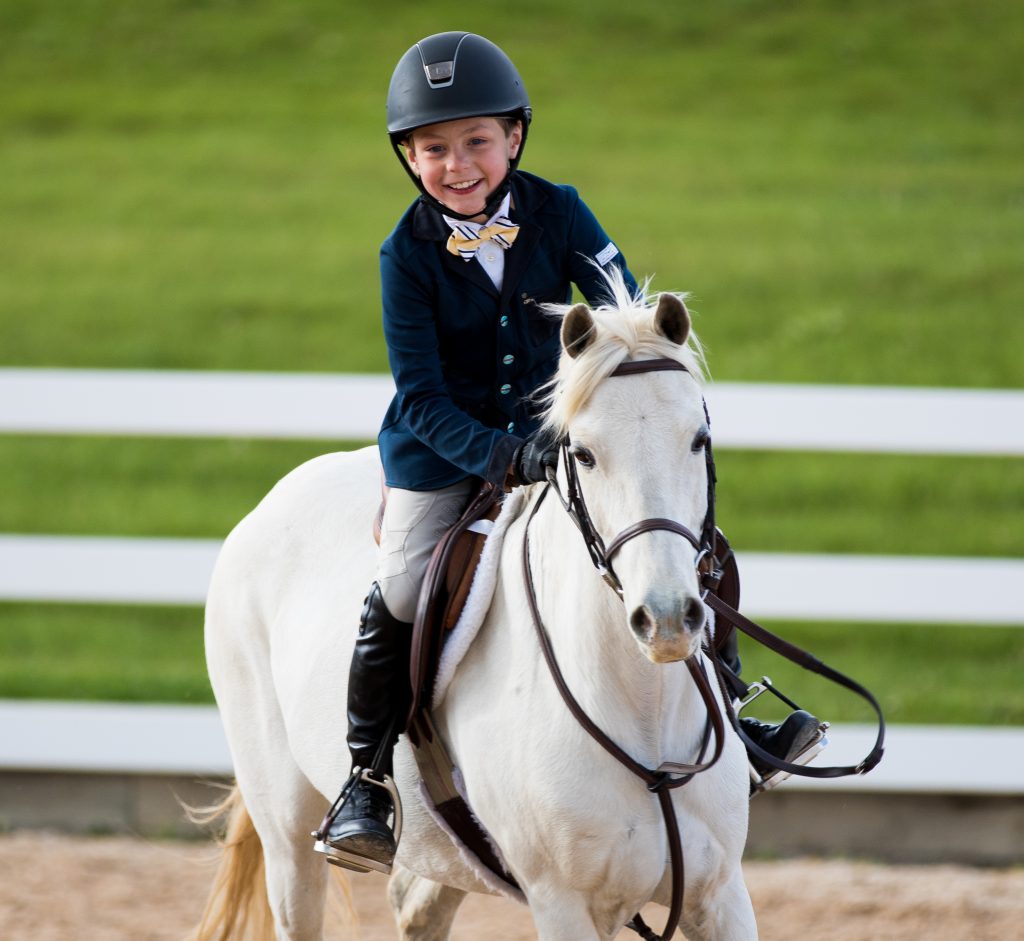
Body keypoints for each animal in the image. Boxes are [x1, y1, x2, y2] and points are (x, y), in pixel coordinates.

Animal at [191, 271, 757, 941]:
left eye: (698, 440)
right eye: (583, 454)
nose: (666, 619)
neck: (643, 713)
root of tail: (272, 499)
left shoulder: (719, 894)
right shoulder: (562, 902)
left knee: (419, 907)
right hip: (285, 832)